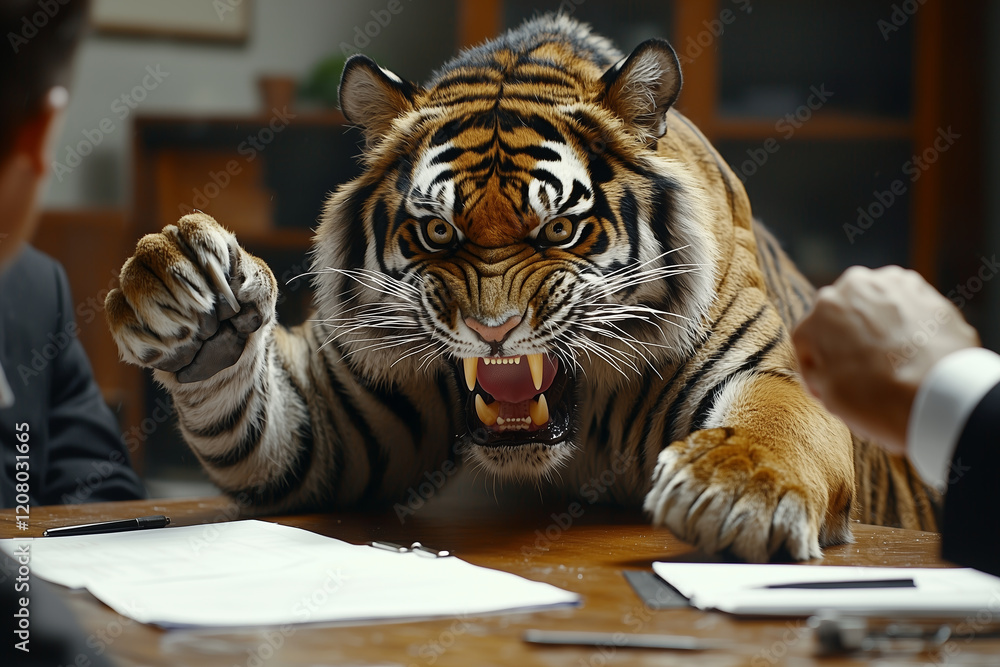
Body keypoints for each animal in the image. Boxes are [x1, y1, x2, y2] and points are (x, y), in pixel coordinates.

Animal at [106, 14, 939, 562]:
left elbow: (774, 421)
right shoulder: (331, 425)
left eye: (560, 230)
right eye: (437, 232)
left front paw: (735, 494)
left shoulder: (766, 371)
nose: (495, 330)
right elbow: (257, 423)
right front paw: (186, 291)